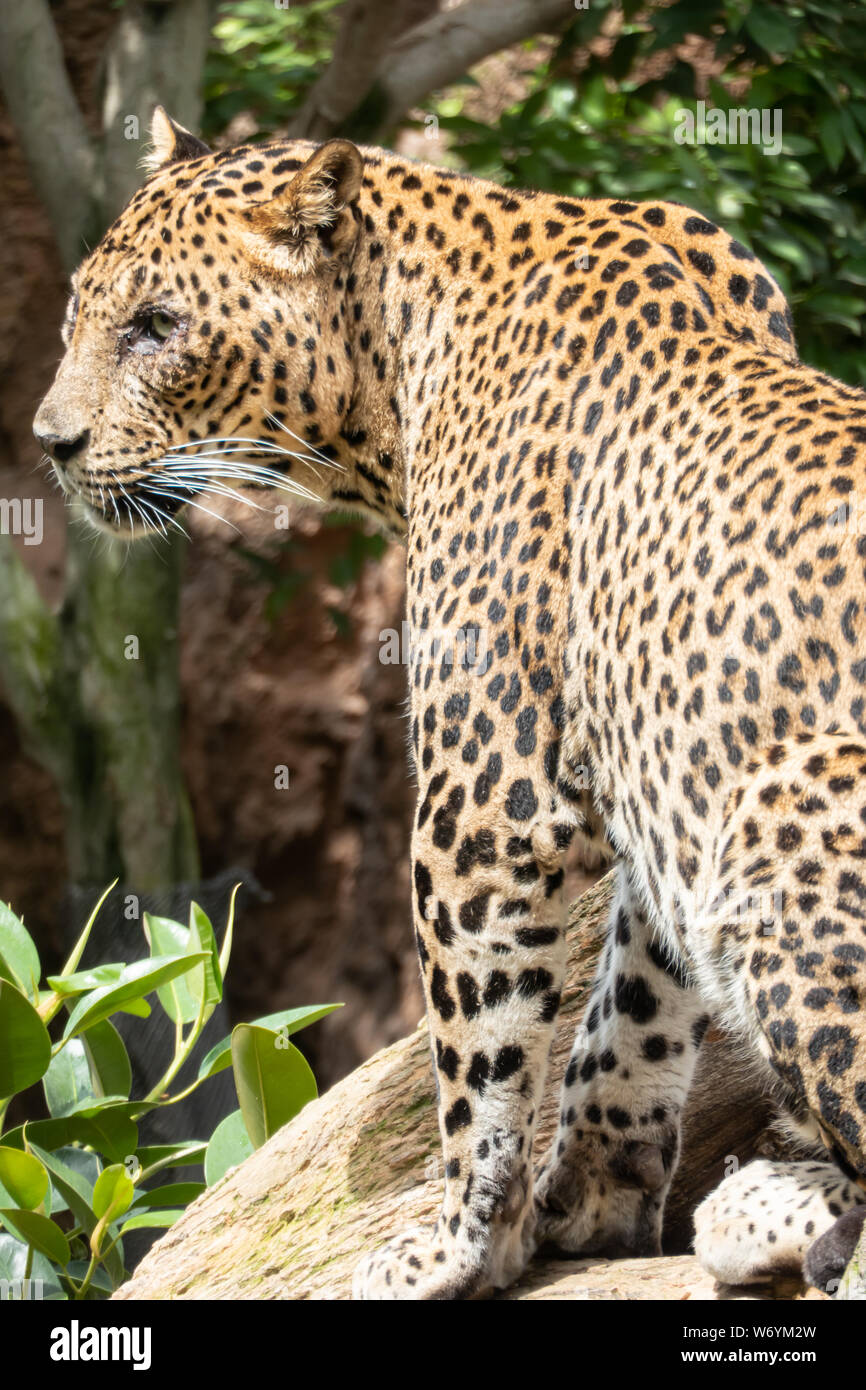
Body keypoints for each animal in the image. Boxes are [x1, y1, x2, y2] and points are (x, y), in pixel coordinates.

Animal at [33, 107, 866, 1299]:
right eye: (77, 317)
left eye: (156, 327)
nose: (50, 444)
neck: (393, 370)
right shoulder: (651, 780)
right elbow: (633, 1004)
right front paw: (590, 1194)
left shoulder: (489, 803)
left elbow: (480, 1049)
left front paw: (456, 1239)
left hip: (781, 806)